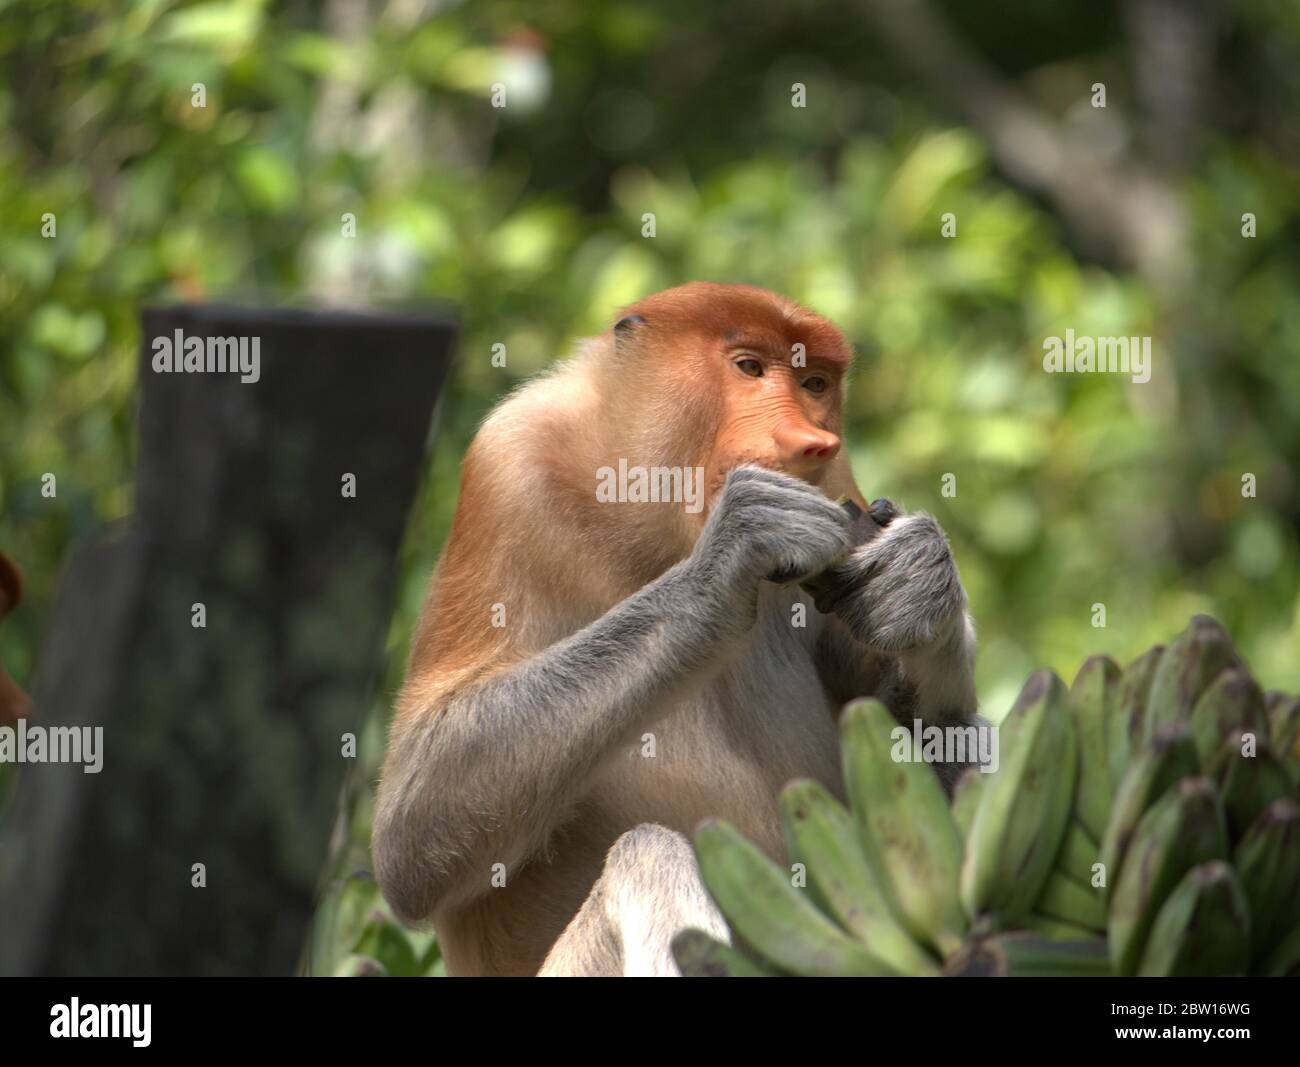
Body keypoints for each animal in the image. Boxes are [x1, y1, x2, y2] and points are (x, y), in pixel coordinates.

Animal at [373, 282, 982, 976]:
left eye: (815, 383)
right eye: (749, 368)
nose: (811, 442)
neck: (648, 520)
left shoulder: (842, 484)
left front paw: (918, 577)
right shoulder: (508, 468)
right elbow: (412, 836)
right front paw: (739, 544)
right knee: (649, 853)